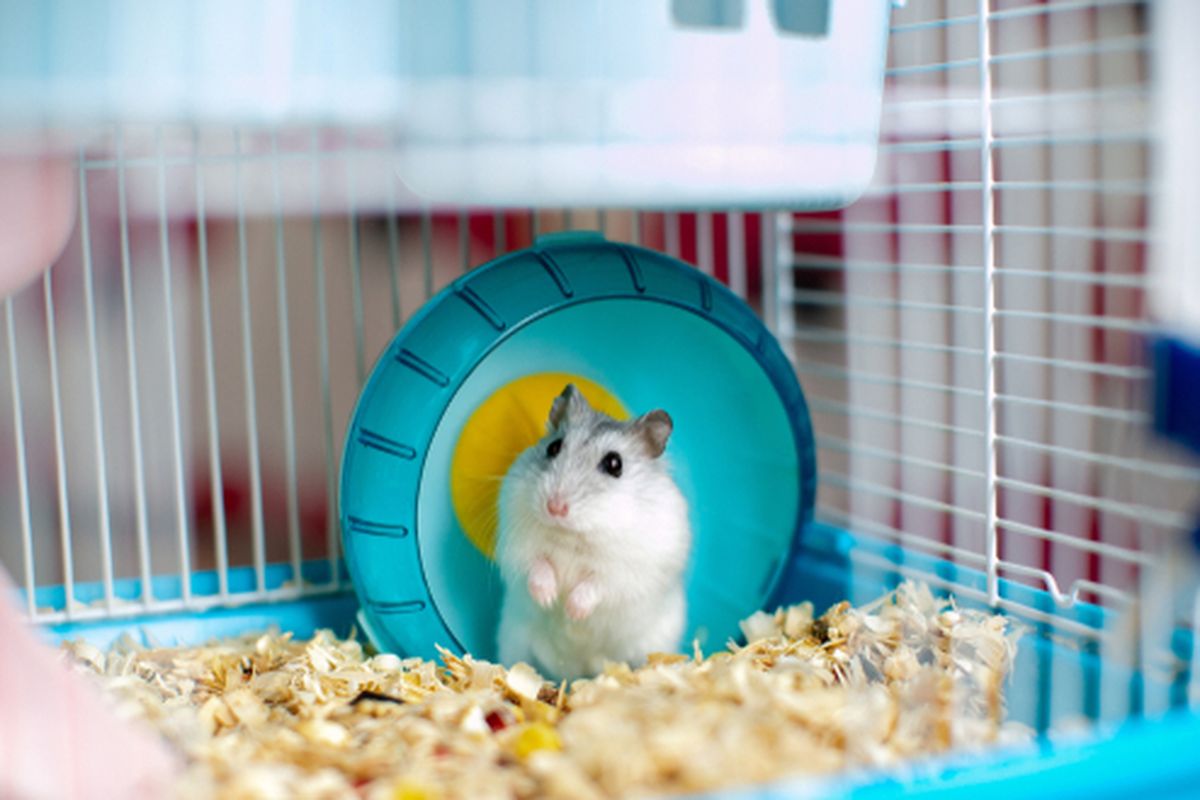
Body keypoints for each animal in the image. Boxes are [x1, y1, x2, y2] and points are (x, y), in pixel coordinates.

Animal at [495, 384, 692, 681]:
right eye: (553, 447)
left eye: (614, 464)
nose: (554, 507)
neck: (573, 536)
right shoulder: (520, 546)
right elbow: (538, 565)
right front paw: (548, 598)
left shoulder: (627, 572)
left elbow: (597, 584)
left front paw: (572, 611)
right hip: (513, 640)